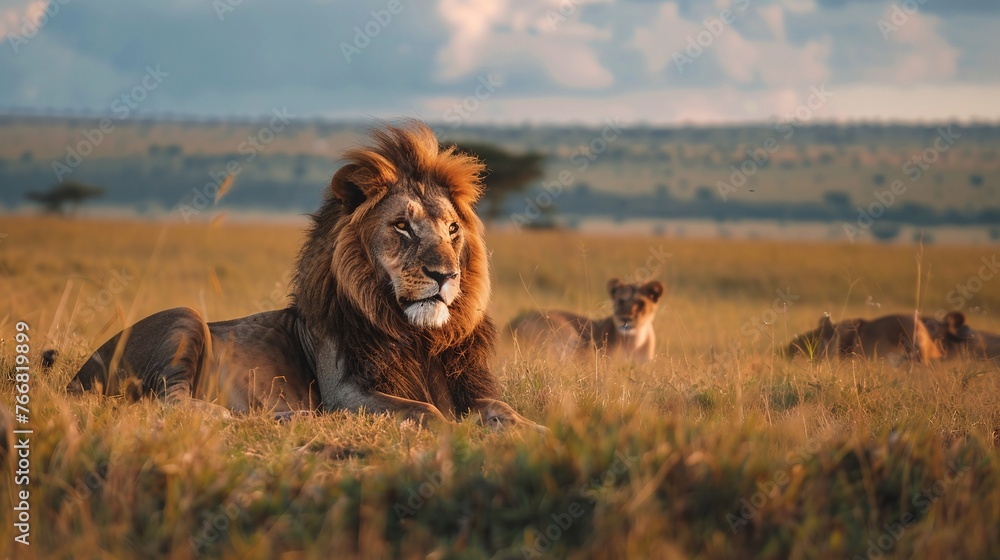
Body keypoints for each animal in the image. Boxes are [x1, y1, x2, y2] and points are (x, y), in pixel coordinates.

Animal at [66, 120, 540, 430]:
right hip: (184, 319)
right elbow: (428, 411)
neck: (418, 337)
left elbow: (504, 411)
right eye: (402, 226)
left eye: (453, 229)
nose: (445, 274)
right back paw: (265, 415)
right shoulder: (344, 394)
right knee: (167, 401)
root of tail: (76, 376)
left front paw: (536, 431)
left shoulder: (468, 388)